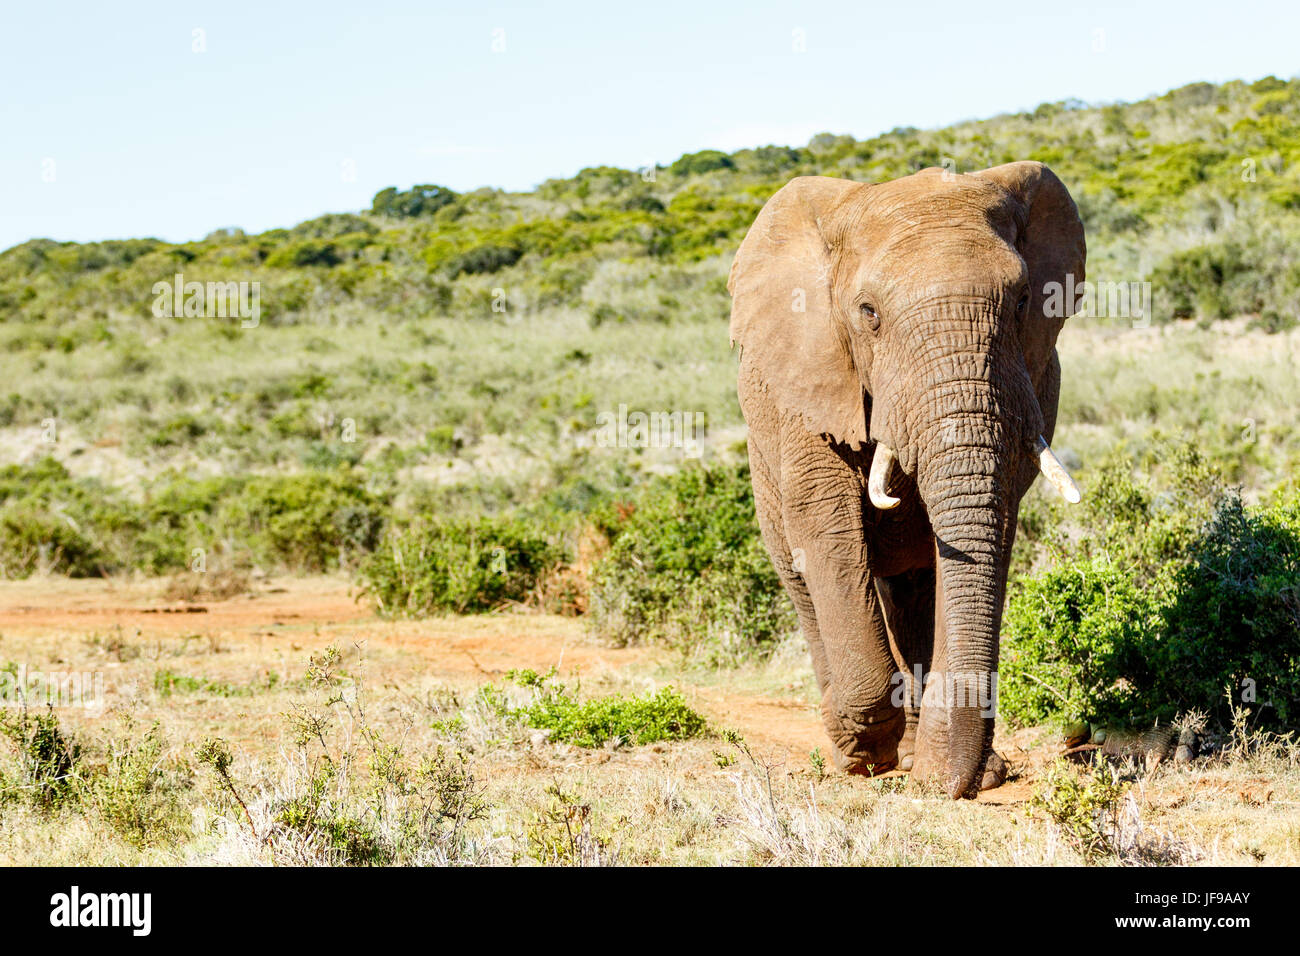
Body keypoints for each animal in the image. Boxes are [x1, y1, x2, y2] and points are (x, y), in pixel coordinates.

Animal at [728, 162, 1085, 799]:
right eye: (868, 313)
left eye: (1023, 300)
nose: (946, 787)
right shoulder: (810, 383)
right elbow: (825, 523)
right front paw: (864, 750)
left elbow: (986, 526)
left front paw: (962, 772)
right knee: (802, 577)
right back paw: (854, 747)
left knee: (912, 590)